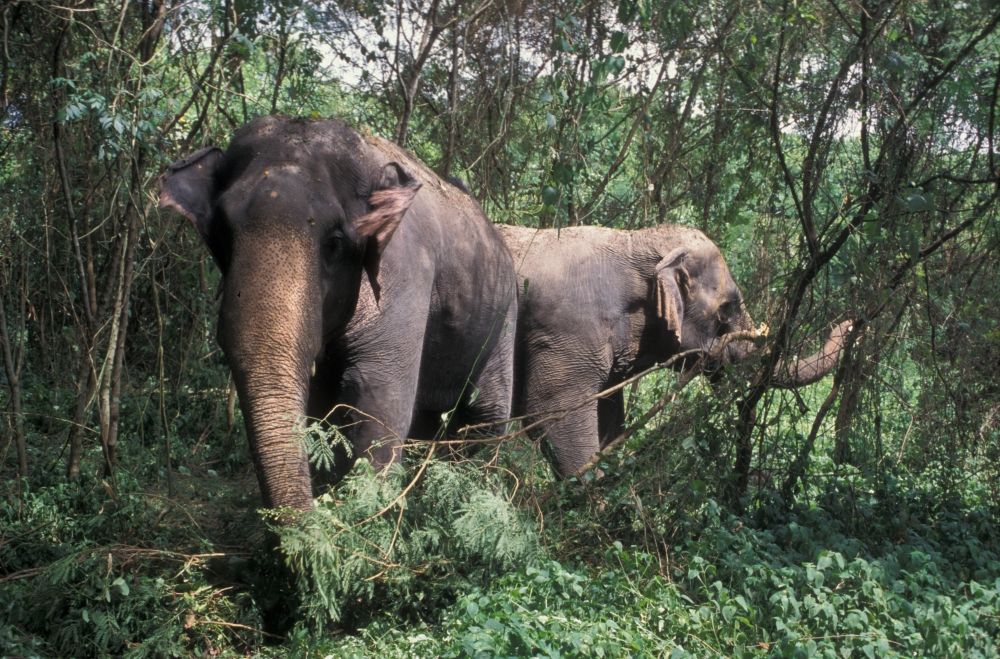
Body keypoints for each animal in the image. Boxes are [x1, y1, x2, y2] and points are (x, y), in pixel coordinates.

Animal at [159, 115, 517, 510]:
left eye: (334, 243)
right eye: (223, 235)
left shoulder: (406, 268)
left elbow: (377, 395)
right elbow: (321, 402)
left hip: (505, 315)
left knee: (486, 413)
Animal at [496, 224, 851, 478]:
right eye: (727, 309)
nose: (849, 324)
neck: (634, 240)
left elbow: (610, 419)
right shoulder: (569, 333)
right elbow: (551, 413)